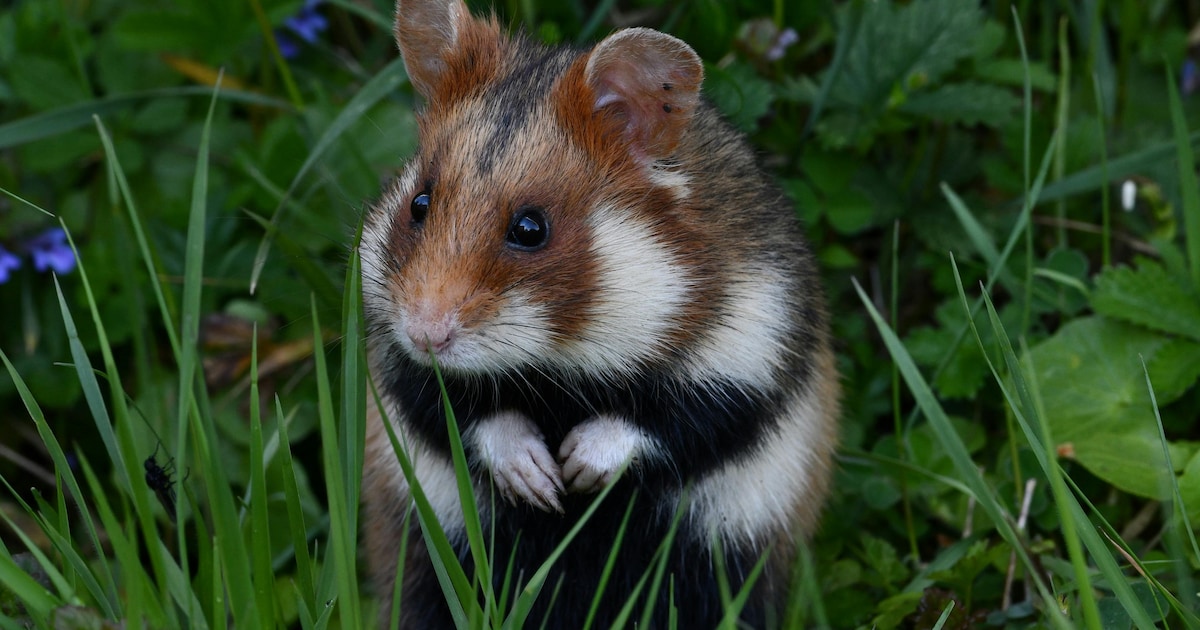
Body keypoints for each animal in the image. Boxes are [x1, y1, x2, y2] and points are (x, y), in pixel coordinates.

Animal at [359, 0, 840, 627]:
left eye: (531, 228)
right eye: (419, 203)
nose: (425, 334)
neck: (563, 357)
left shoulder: (752, 354)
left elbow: (663, 421)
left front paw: (575, 471)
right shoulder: (401, 370)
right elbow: (462, 412)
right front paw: (540, 483)